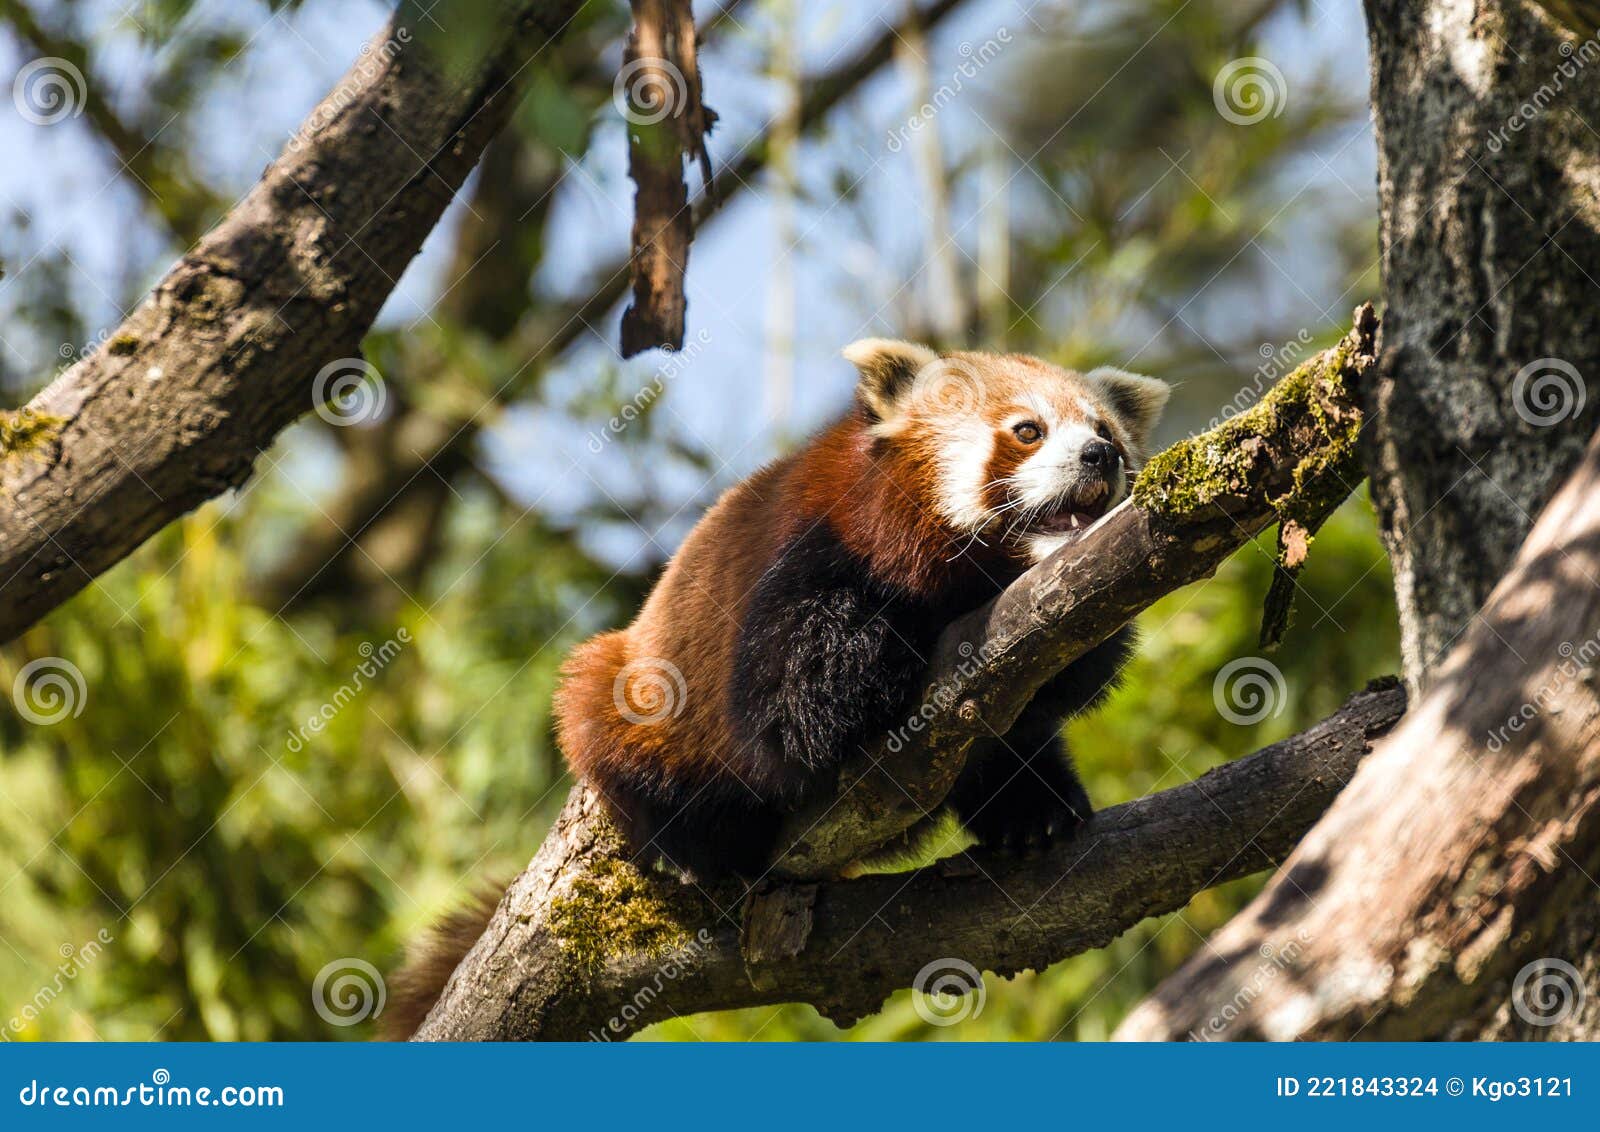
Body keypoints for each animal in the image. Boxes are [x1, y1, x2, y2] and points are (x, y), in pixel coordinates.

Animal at [554, 338, 1169, 879]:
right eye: (1028, 431)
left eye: (1105, 431)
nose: (1101, 455)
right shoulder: (812, 547)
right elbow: (798, 706)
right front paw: (882, 652)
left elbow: (1061, 682)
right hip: (640, 691)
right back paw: (718, 840)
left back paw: (1034, 810)